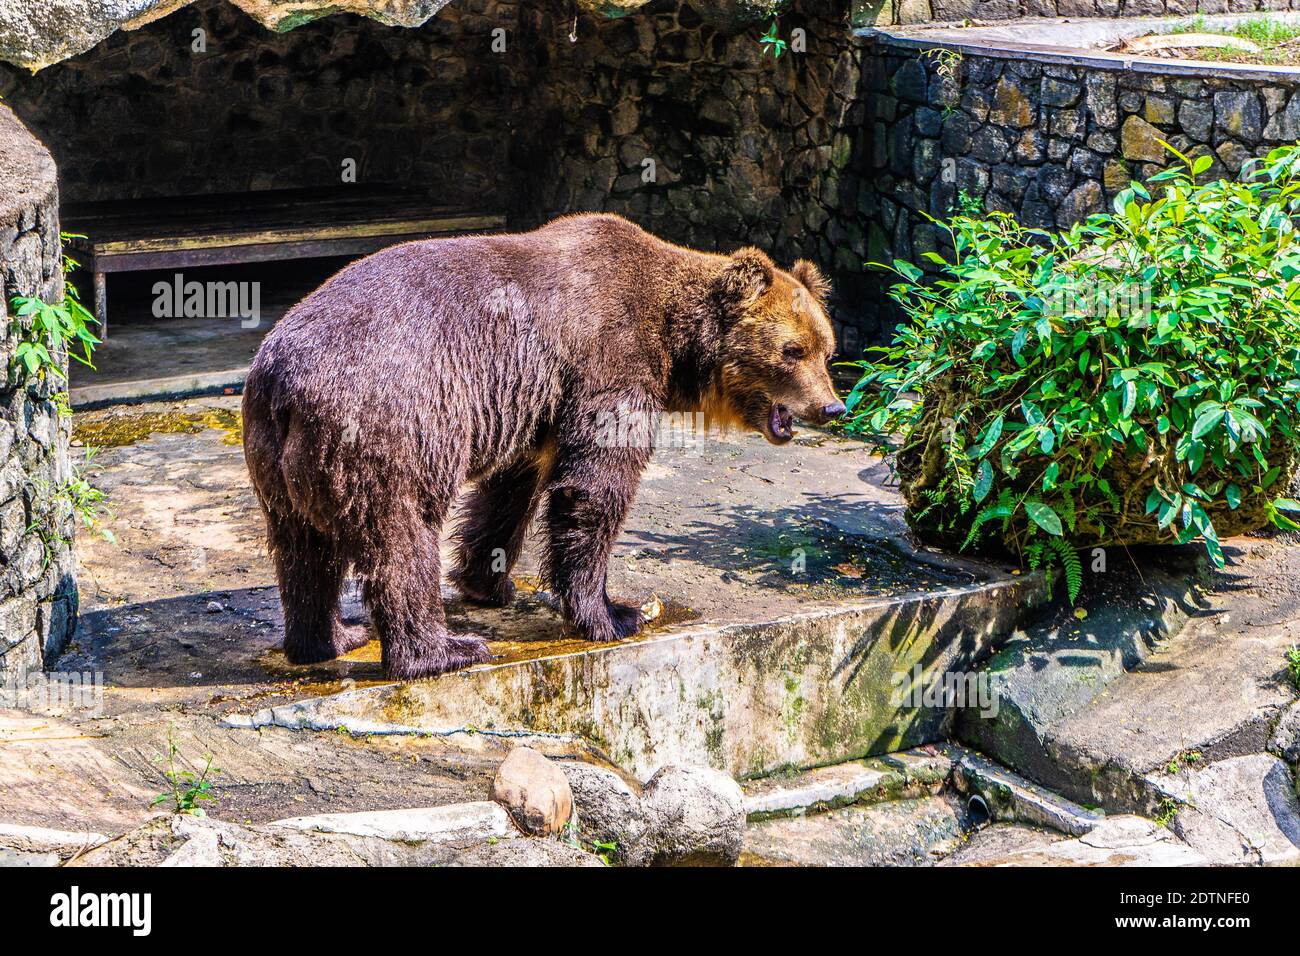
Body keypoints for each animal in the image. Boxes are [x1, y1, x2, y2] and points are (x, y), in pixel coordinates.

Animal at [242, 213, 845, 680]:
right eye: (791, 350)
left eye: (826, 349)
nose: (832, 407)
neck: (673, 342)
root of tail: (285, 384)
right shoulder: (607, 362)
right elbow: (595, 486)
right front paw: (613, 614)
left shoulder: (533, 403)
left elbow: (510, 491)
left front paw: (490, 581)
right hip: (389, 427)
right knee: (401, 537)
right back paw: (443, 650)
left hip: (278, 456)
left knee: (303, 548)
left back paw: (330, 637)